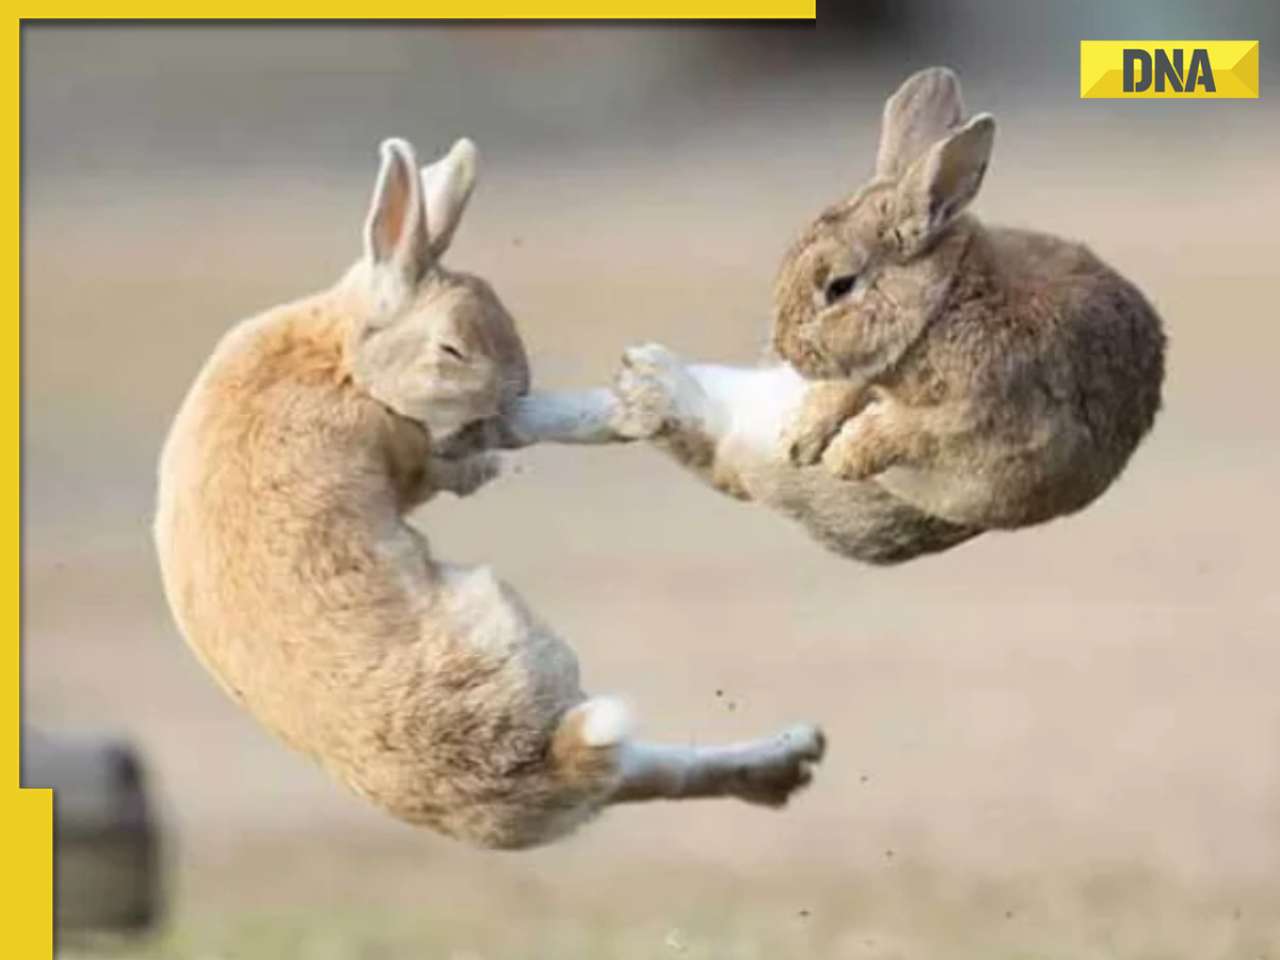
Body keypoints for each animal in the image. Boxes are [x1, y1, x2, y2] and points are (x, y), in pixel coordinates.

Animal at [153, 136, 824, 851]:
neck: (343, 357)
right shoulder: (406, 449)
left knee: (647, 773)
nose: (513, 394)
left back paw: (791, 756)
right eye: (451, 348)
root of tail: (546, 767)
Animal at [605, 66, 1164, 562]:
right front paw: (801, 440)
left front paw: (842, 456)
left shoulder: (972, 416)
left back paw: (647, 388)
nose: (785, 348)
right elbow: (843, 394)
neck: (942, 304)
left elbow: (904, 431)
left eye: (839, 286)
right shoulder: (864, 372)